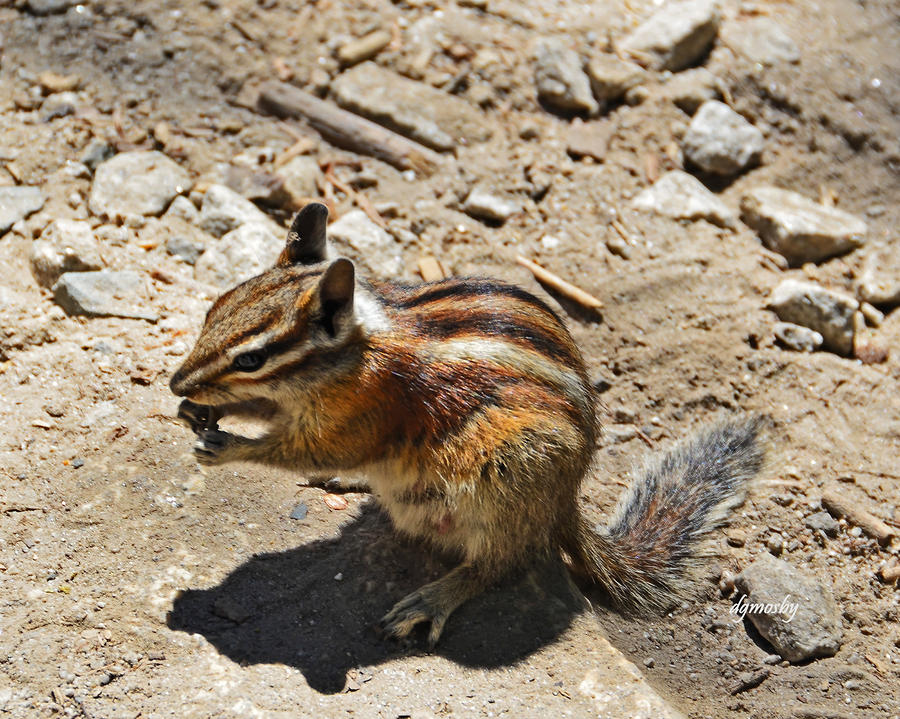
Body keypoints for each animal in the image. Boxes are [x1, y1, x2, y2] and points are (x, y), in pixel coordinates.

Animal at [170, 202, 766, 647]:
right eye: (214, 307)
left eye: (252, 359)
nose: (177, 383)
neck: (352, 353)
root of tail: (565, 505)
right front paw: (202, 411)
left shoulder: (362, 417)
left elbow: (309, 449)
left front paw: (228, 446)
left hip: (508, 480)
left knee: (500, 563)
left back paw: (431, 599)